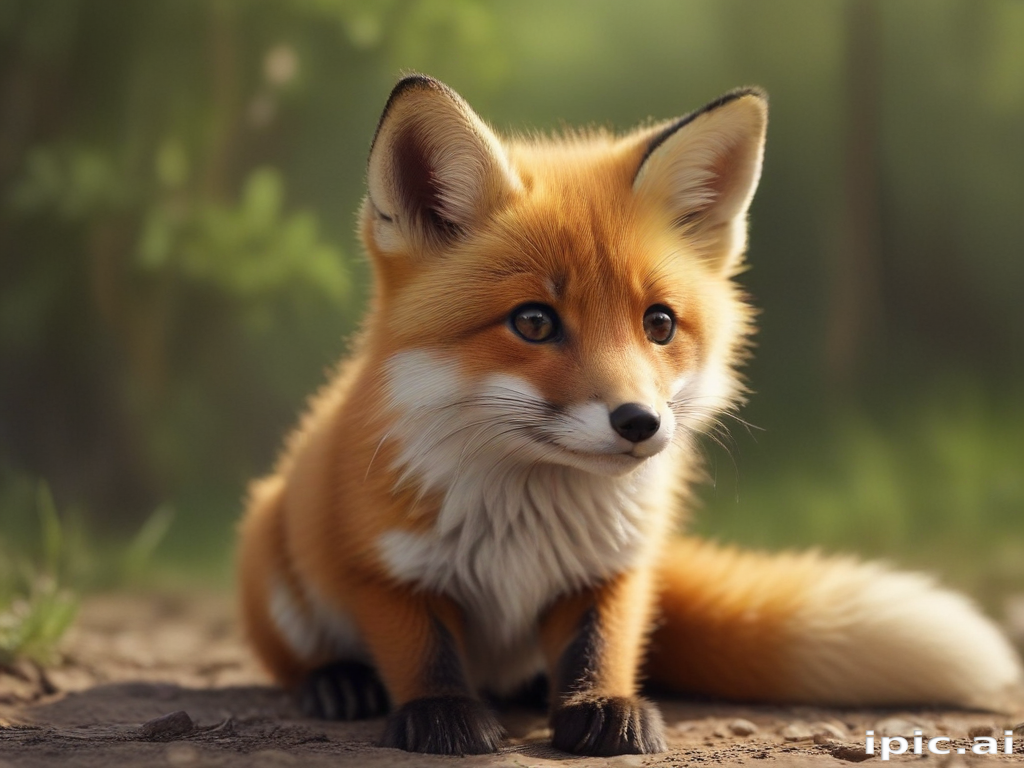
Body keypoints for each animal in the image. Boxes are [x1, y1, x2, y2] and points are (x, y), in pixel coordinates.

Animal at [237, 75, 1022, 756]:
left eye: (660, 323)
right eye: (533, 321)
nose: (640, 422)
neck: (524, 522)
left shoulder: (617, 568)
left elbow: (602, 646)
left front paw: (601, 710)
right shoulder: (383, 567)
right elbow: (421, 650)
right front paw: (440, 715)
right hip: (270, 555)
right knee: (301, 658)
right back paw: (337, 682)